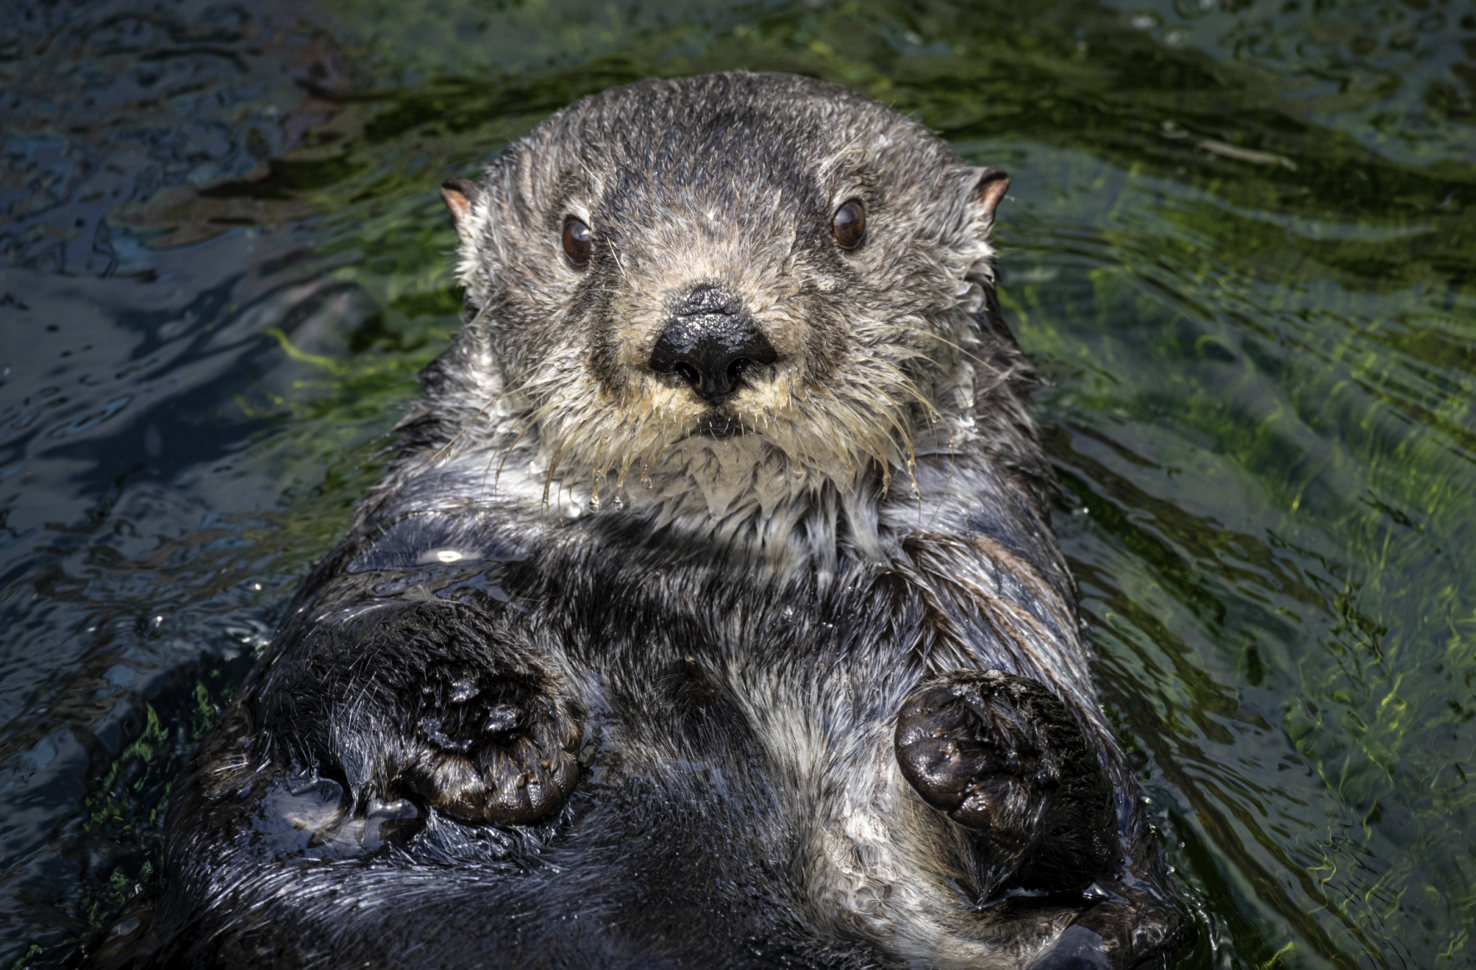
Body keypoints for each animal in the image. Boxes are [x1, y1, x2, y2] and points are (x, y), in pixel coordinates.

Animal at [80, 73, 1188, 969]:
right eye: (577, 239)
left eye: (849, 222)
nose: (708, 333)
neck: (710, 579)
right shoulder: (420, 539)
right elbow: (331, 652)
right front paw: (480, 722)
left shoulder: (984, 601)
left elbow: (1100, 878)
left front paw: (1000, 740)